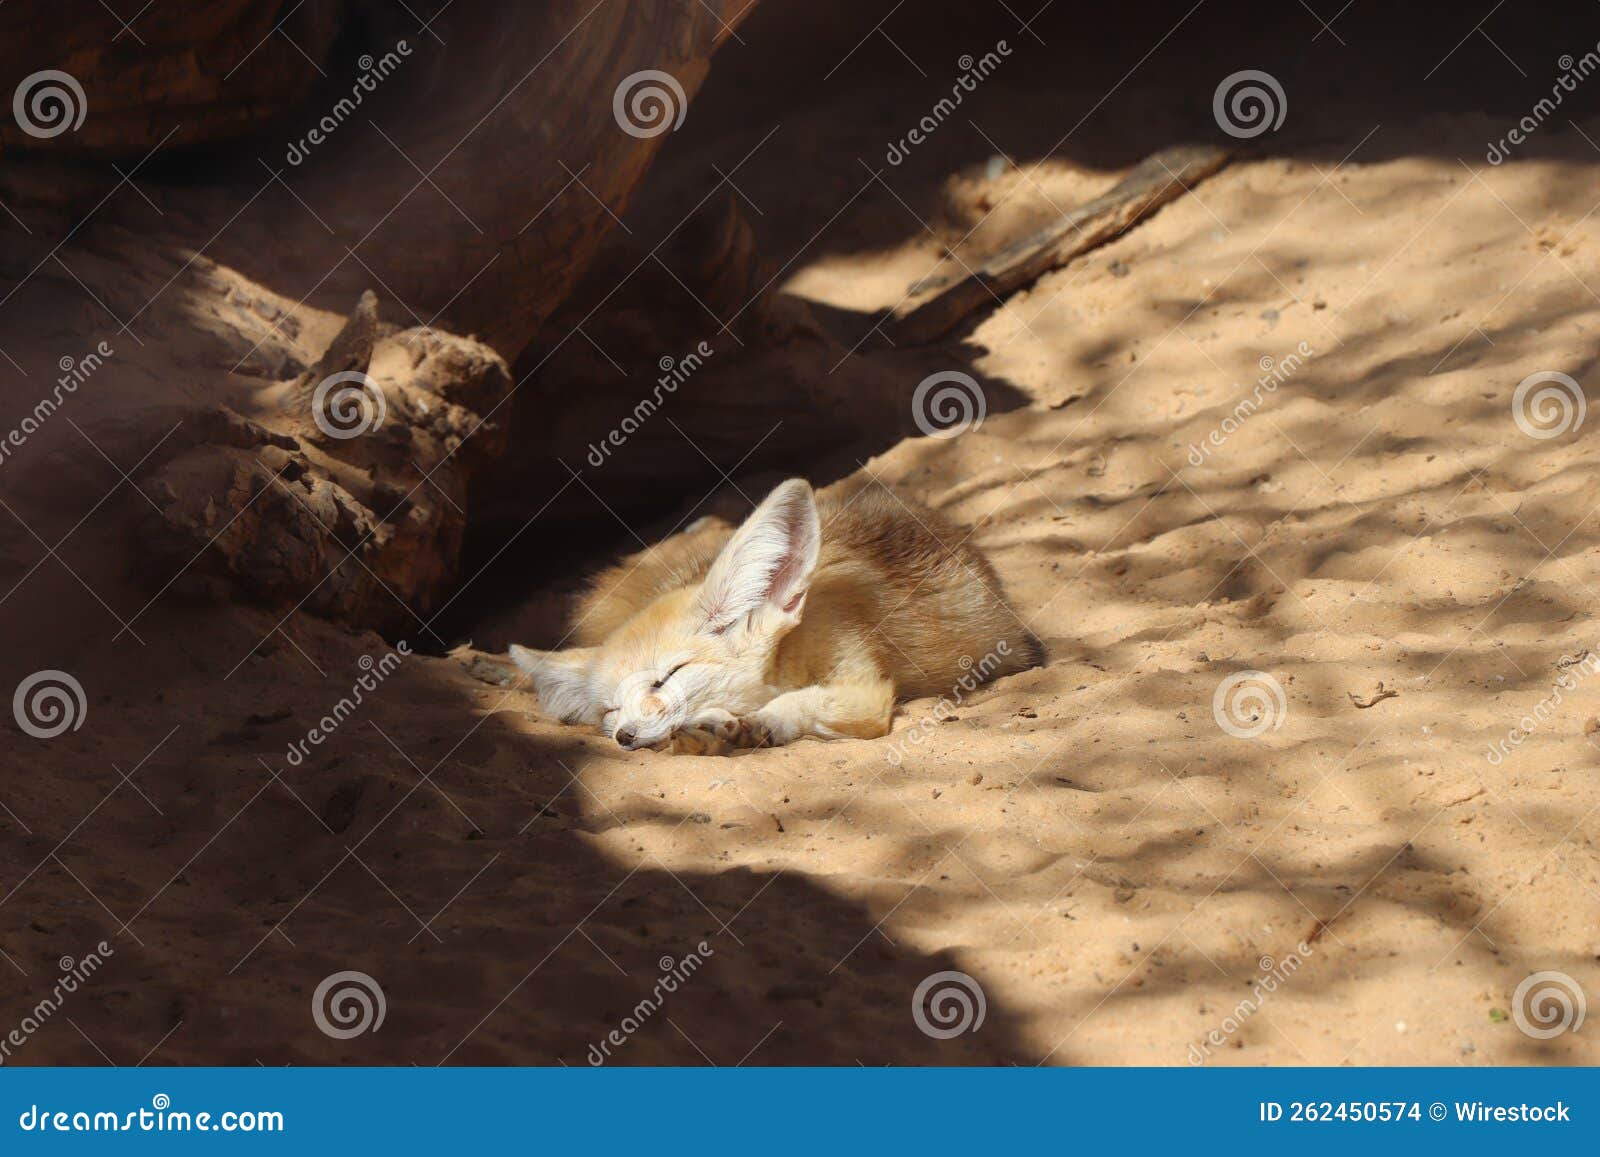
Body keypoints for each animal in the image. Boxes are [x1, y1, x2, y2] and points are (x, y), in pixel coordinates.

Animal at [508, 477, 1042, 753]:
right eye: (610, 711)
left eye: (666, 678)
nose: (623, 736)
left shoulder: (863, 686)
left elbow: (799, 702)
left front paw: (755, 722)